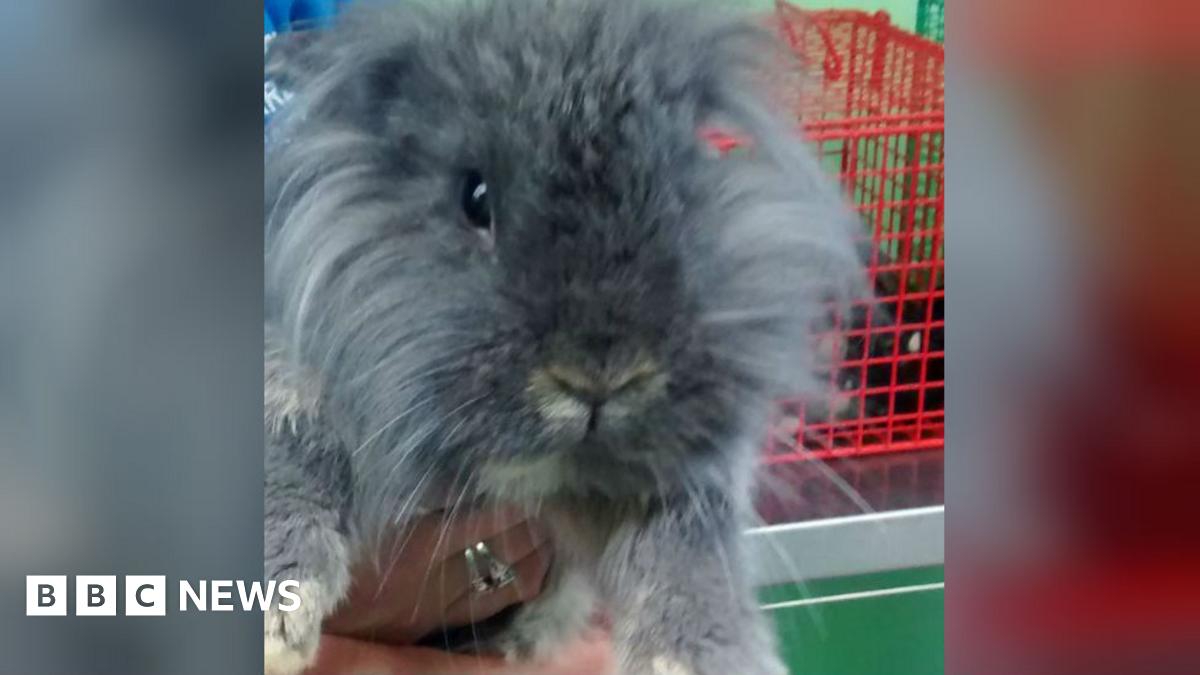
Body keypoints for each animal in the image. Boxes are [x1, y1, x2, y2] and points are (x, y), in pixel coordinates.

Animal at [263, 1, 861, 674]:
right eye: (475, 196)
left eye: (681, 186)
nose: (599, 375)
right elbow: (294, 455)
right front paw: (276, 625)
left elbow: (689, 545)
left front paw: (688, 658)